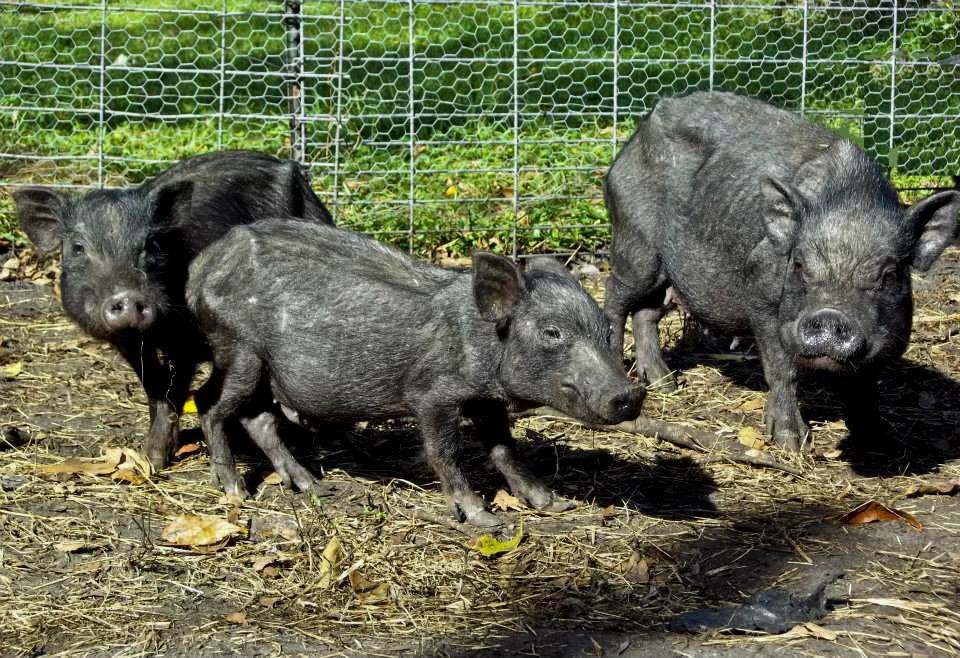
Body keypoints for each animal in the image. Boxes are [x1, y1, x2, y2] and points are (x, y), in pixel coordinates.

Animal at [11, 151, 333, 469]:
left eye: (151, 245)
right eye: (78, 247)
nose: (128, 298)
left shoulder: (188, 337)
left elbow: (174, 388)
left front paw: (154, 461)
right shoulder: (129, 344)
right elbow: (154, 386)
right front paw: (151, 457)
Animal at [186, 221, 644, 525]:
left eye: (606, 331)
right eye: (552, 332)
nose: (630, 394)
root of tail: (200, 268)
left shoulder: (487, 403)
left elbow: (504, 451)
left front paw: (554, 504)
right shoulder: (432, 397)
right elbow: (445, 453)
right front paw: (487, 520)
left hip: (263, 371)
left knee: (258, 419)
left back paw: (316, 487)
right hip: (238, 349)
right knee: (211, 405)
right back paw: (235, 491)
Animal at [604, 91, 959, 452]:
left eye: (888, 274)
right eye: (799, 265)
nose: (831, 315)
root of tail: (638, 133)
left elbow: (867, 379)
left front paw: (877, 437)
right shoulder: (761, 291)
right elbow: (781, 368)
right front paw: (791, 444)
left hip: (669, 275)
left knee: (646, 314)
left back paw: (667, 384)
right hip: (636, 247)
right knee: (614, 298)